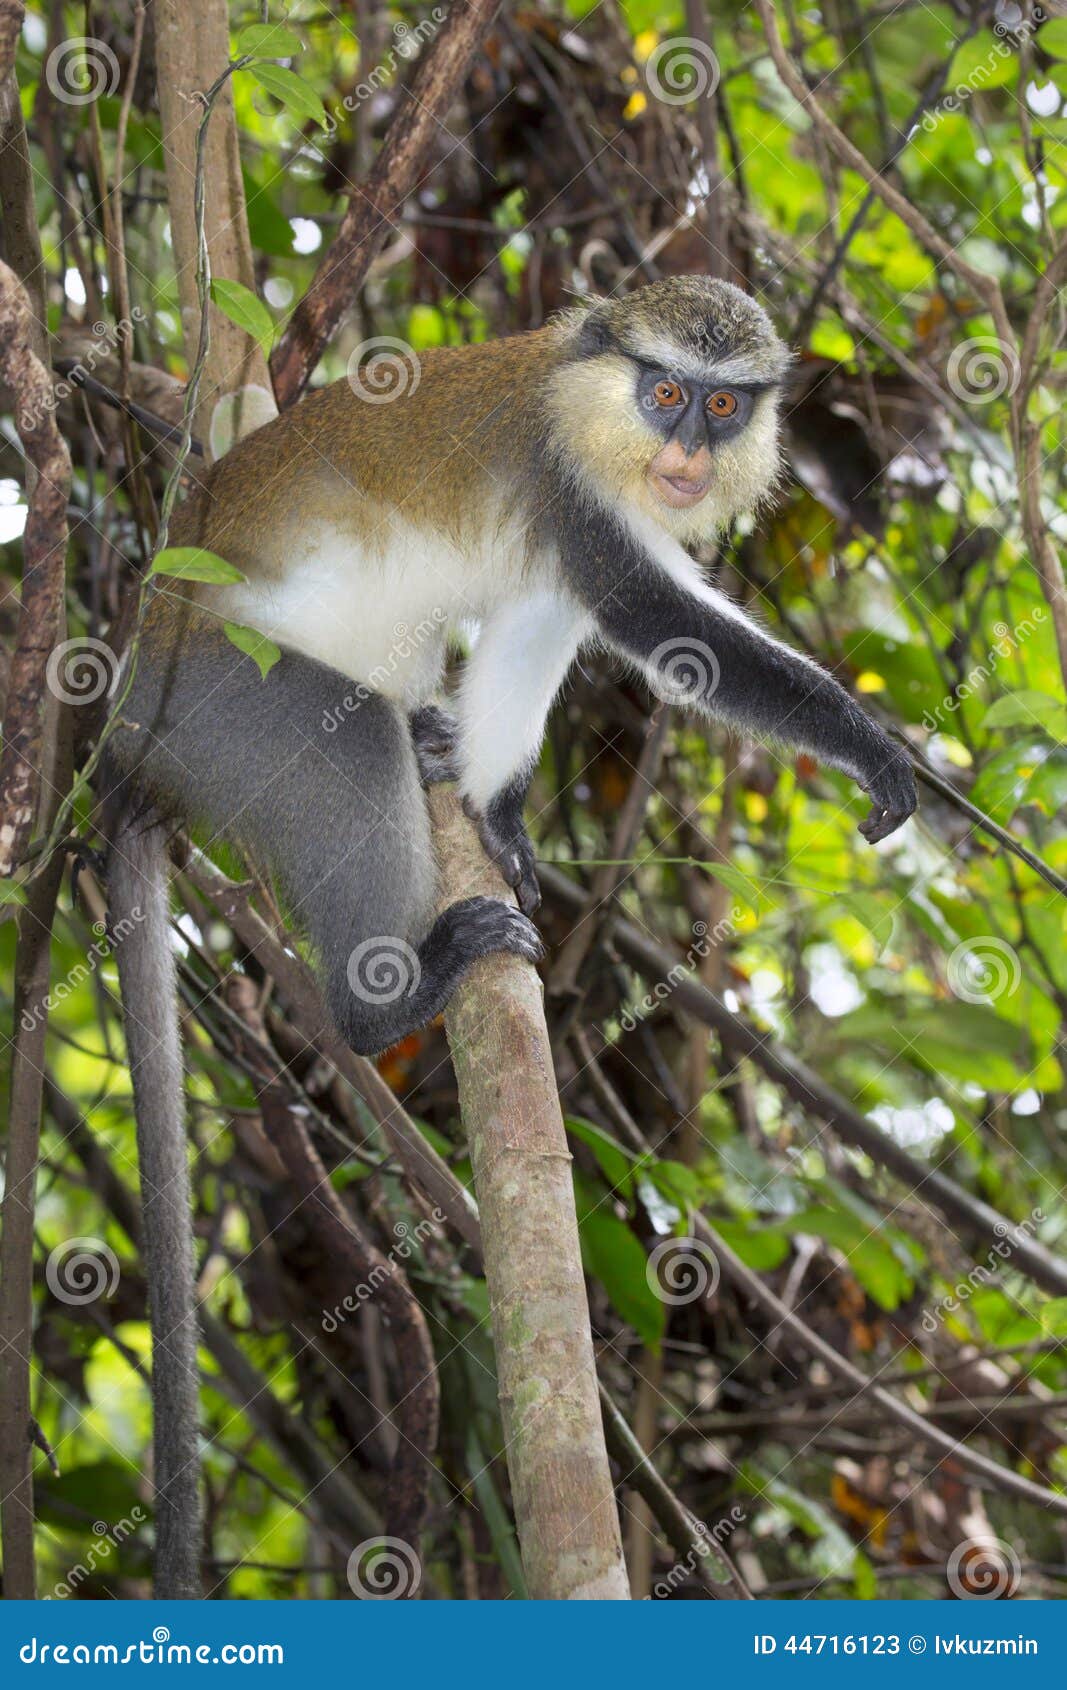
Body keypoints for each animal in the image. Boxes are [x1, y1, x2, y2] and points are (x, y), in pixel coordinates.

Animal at [100, 279, 915, 1590]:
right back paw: (386, 997)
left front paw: (496, 806)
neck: (591, 407)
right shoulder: (574, 495)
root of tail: (127, 743)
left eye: (724, 404)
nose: (691, 454)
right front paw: (871, 746)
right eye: (666, 390)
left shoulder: (571, 537)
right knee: (347, 741)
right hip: (229, 705)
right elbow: (658, 624)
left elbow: (547, 614)